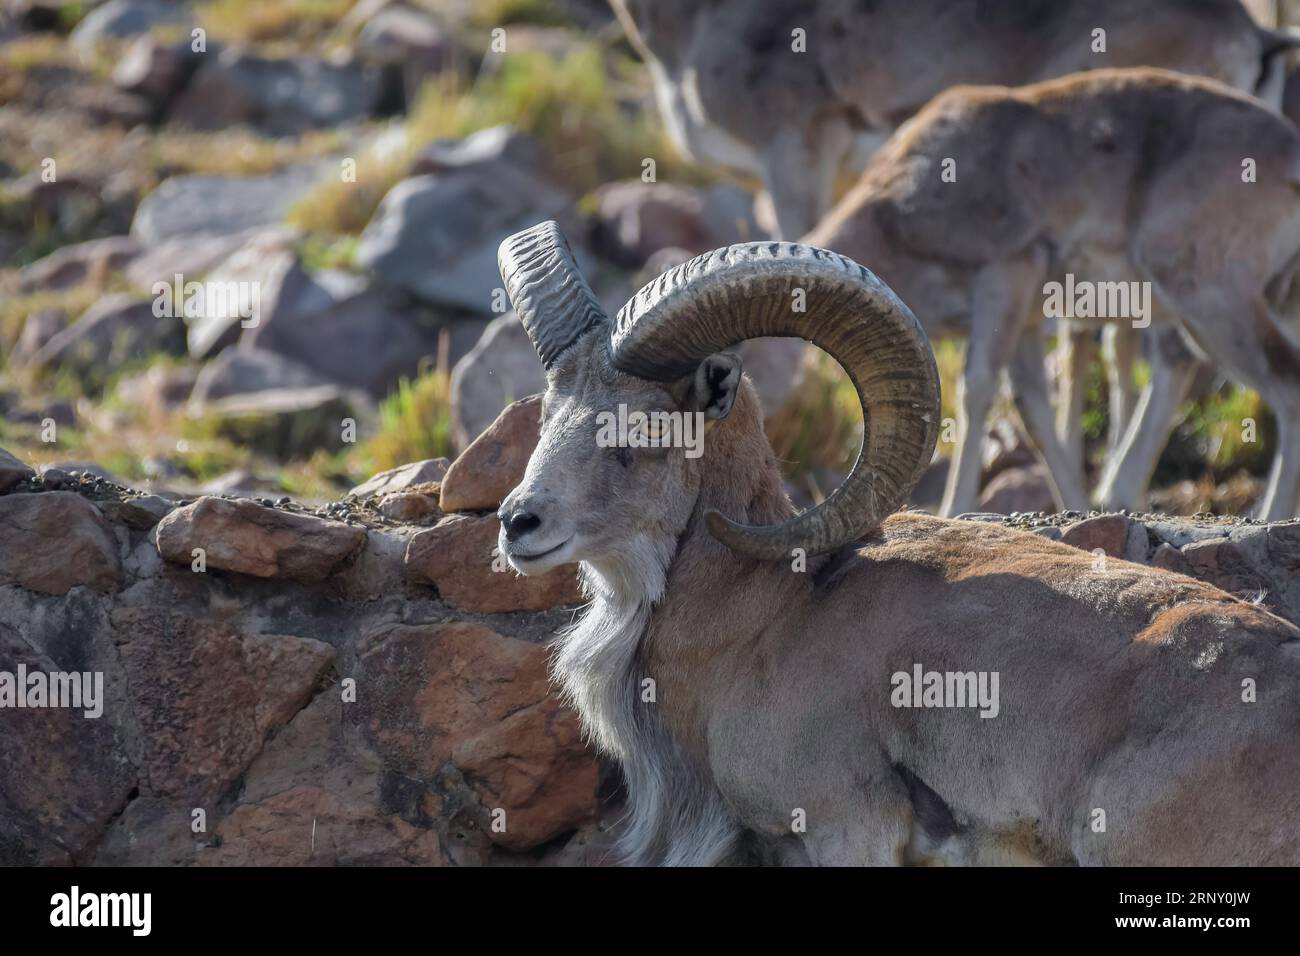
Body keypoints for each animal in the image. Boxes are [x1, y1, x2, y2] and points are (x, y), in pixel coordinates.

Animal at [803, 67, 1300, 519]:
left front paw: (955, 509)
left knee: (1283, 386)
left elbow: (976, 392)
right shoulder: (1021, 323)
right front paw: (1077, 504)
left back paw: (1269, 516)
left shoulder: (1005, 280)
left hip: (1212, 307)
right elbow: (1034, 412)